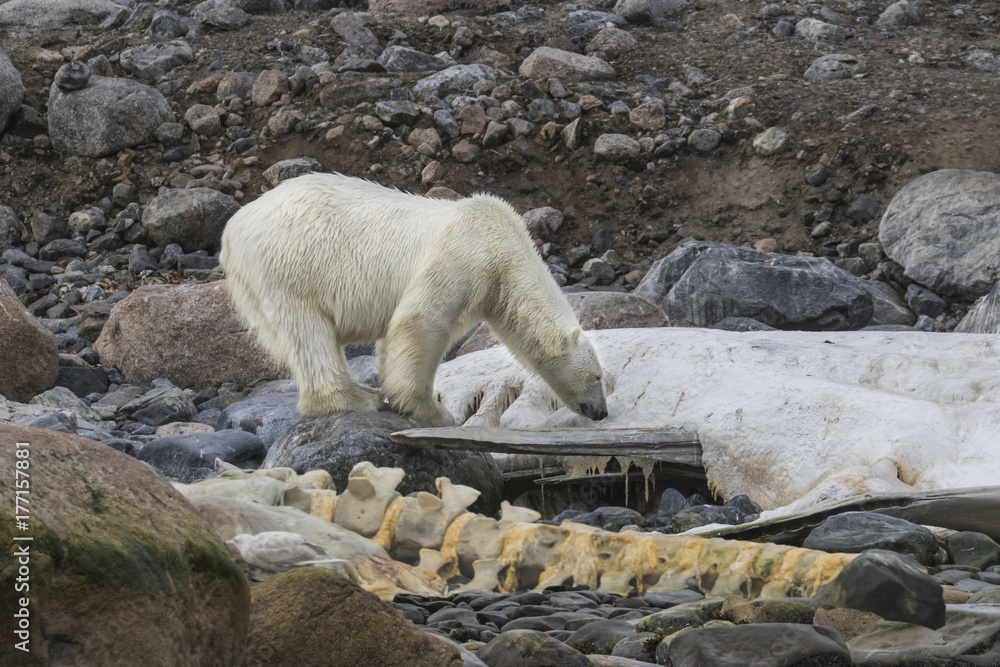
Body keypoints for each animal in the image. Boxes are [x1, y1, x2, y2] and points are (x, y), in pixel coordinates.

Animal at [220, 172, 607, 427]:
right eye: (597, 377)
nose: (601, 412)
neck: (506, 249)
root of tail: (233, 228)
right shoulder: (467, 255)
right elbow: (421, 321)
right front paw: (434, 411)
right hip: (292, 264)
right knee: (308, 329)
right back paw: (358, 397)